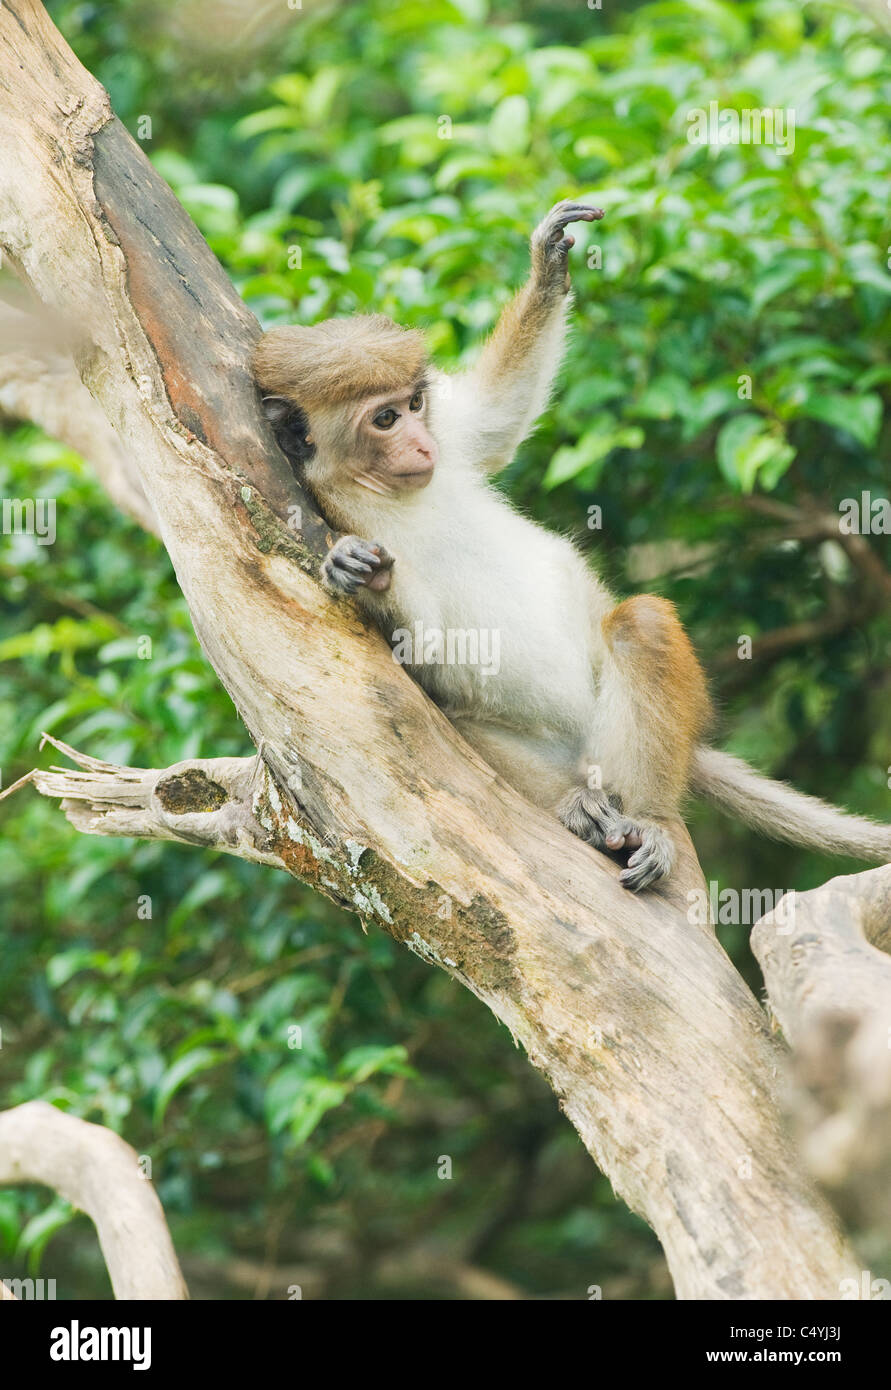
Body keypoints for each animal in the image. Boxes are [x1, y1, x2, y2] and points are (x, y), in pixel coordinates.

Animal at [252, 199, 891, 890]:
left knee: (639, 625)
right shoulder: (336, 508)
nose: (420, 444)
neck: (387, 490)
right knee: (465, 721)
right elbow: (422, 648)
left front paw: (547, 265)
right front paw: (357, 572)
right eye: (385, 419)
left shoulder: (452, 442)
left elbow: (494, 422)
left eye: (416, 403)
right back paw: (577, 808)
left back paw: (650, 821)